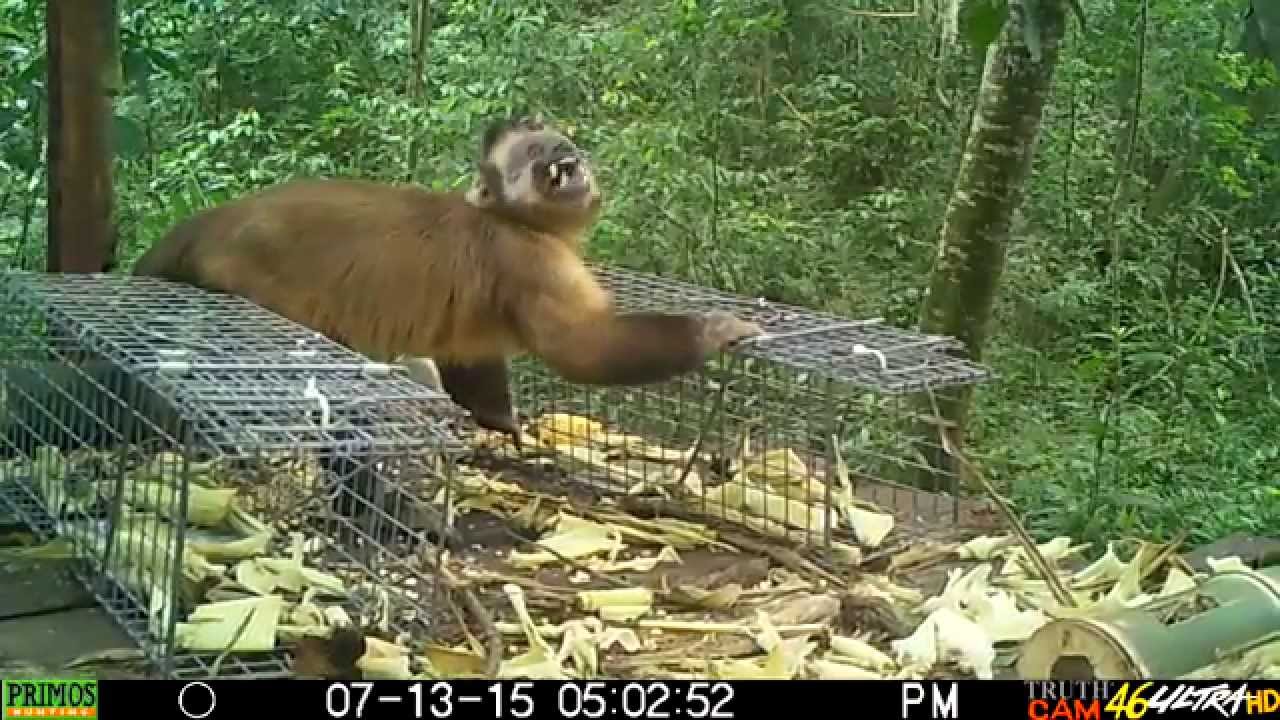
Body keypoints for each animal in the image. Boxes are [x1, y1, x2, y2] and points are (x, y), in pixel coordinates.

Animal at [129, 115, 765, 443]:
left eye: (554, 142)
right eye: (531, 156)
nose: (559, 154)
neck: (513, 218)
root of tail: (200, 225)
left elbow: (470, 357)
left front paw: (502, 425)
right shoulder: (528, 257)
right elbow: (581, 348)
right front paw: (714, 331)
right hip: (248, 282)